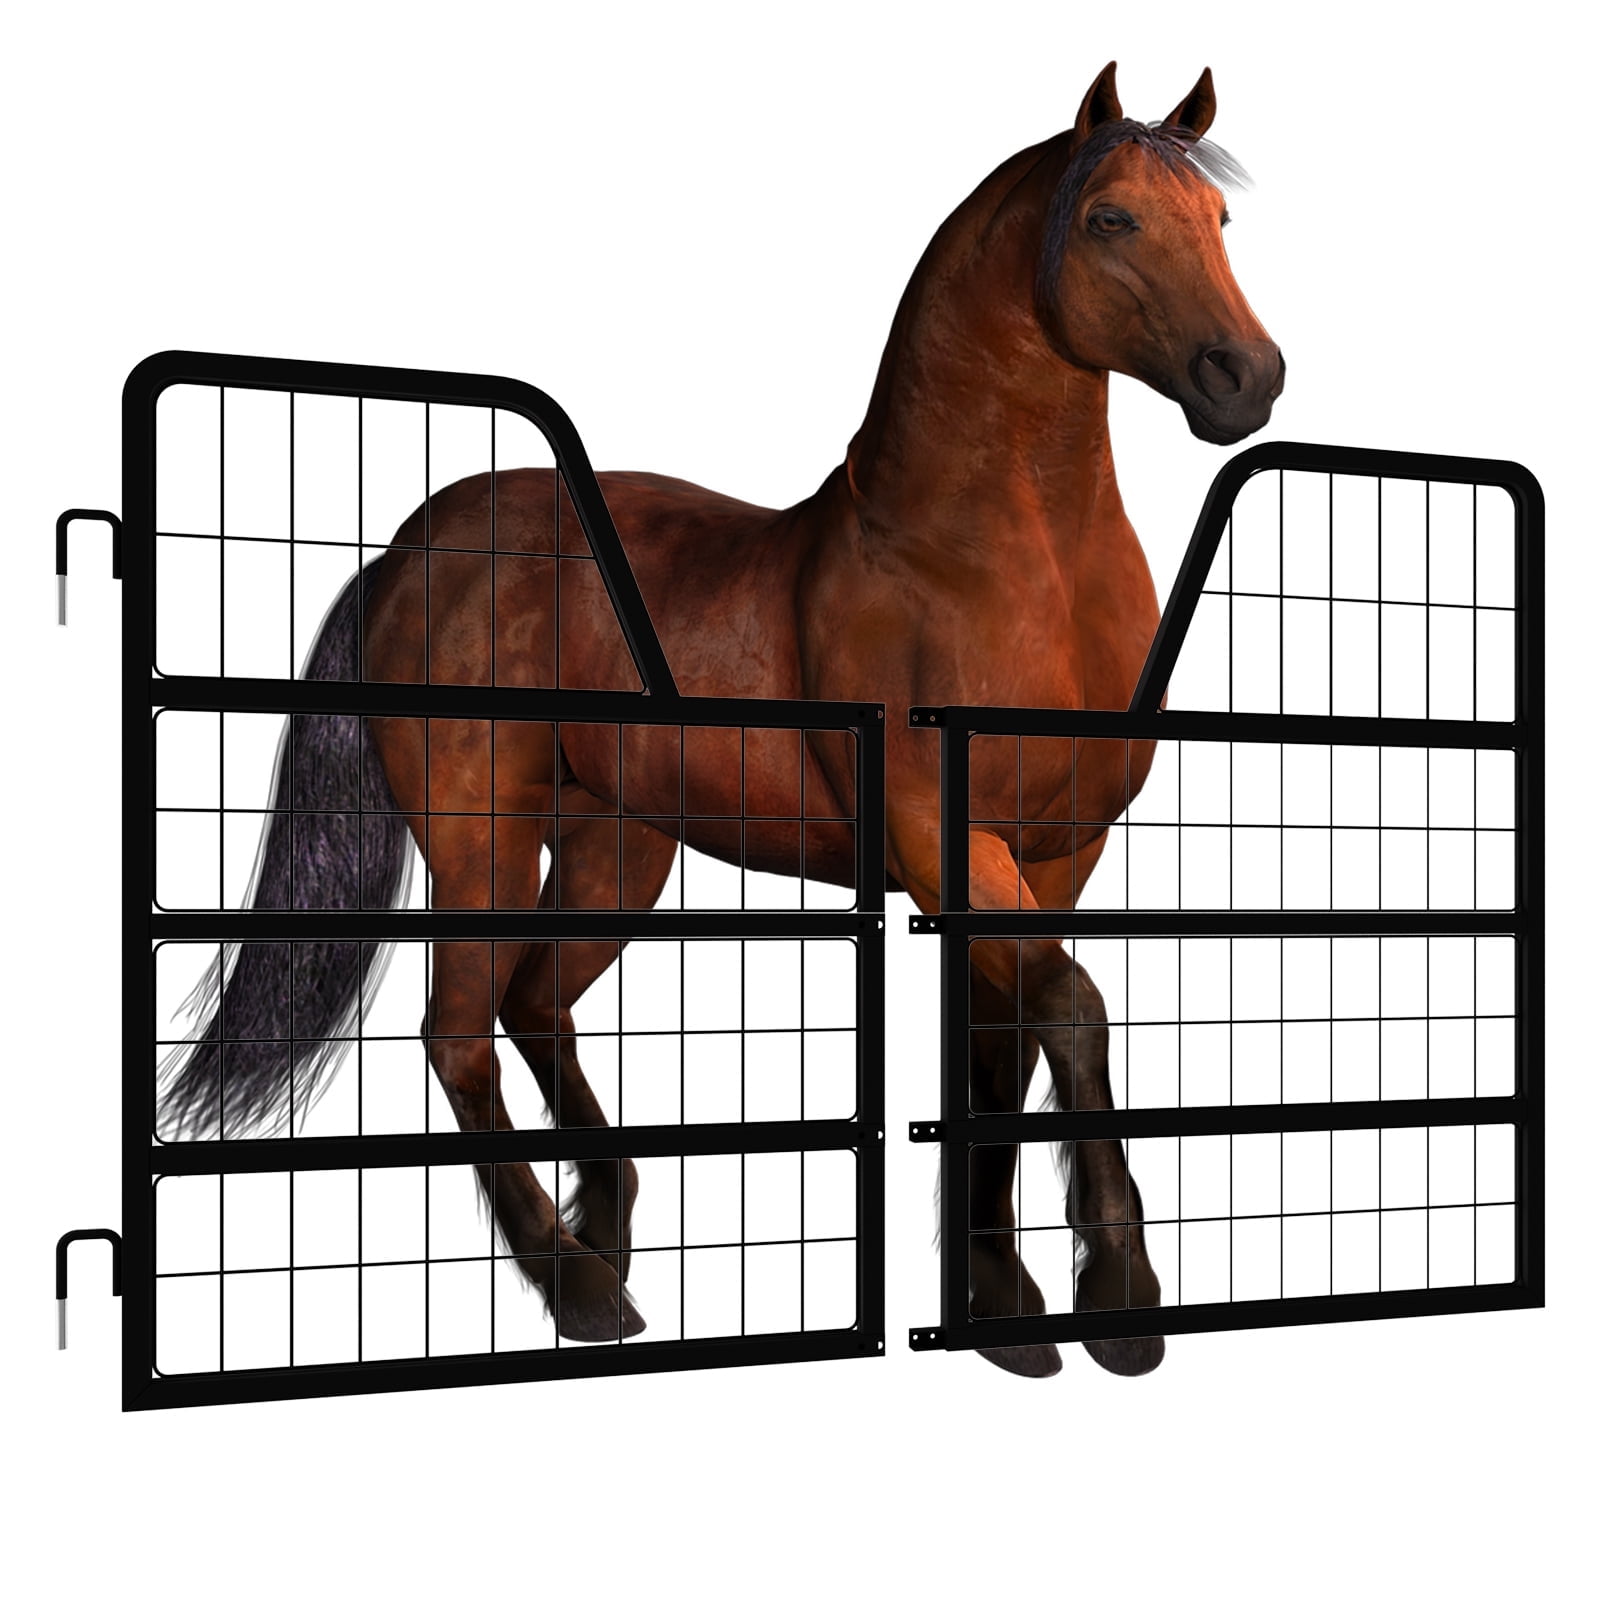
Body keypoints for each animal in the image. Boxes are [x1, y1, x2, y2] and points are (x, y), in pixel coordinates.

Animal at [161, 62, 1283, 1379]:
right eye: (1111, 218)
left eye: (1219, 221)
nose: (1247, 378)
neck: (996, 565)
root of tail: (402, 555)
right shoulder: (943, 842)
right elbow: (1072, 1009)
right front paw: (1118, 1296)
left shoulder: (1059, 854)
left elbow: (1002, 1047)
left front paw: (1003, 1302)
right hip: (483, 844)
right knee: (461, 1032)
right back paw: (575, 1287)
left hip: (616, 849)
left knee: (536, 1004)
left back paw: (608, 1235)